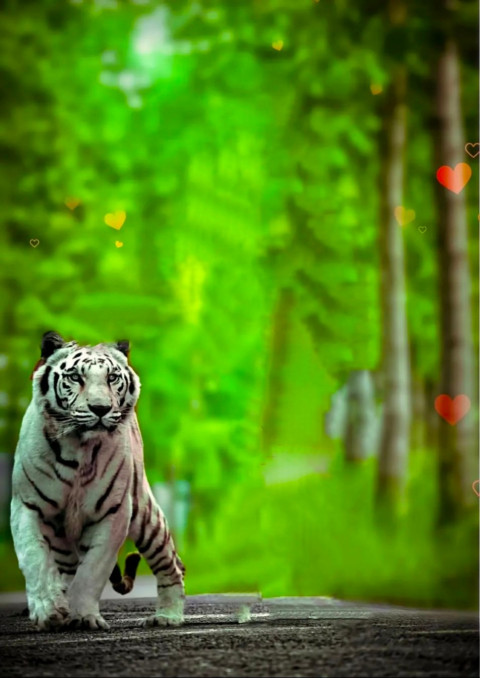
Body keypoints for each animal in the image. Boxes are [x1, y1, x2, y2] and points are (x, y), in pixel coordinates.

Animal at [10, 331, 185, 631]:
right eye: (75, 377)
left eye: (112, 378)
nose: (101, 408)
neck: (78, 449)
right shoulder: (27, 505)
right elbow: (34, 557)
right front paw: (48, 610)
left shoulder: (114, 513)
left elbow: (92, 571)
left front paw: (83, 616)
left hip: (145, 515)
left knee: (170, 564)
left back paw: (168, 616)